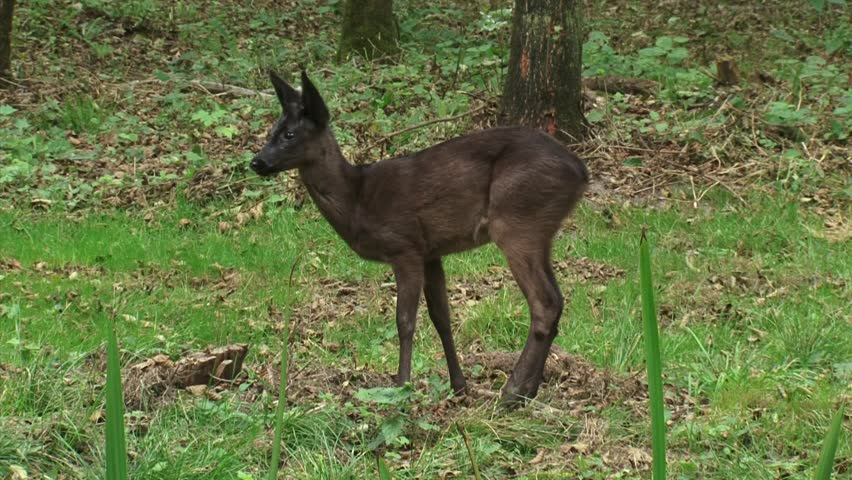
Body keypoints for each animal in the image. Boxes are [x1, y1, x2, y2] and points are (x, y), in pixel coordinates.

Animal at [250, 70, 589, 407]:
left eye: (289, 134)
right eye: (272, 130)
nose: (256, 162)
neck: (357, 200)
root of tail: (581, 172)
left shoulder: (405, 246)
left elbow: (405, 321)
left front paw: (402, 387)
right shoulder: (431, 252)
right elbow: (442, 317)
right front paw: (459, 386)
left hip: (517, 220)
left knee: (544, 302)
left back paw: (512, 392)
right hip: (539, 230)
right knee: (557, 300)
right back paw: (528, 390)